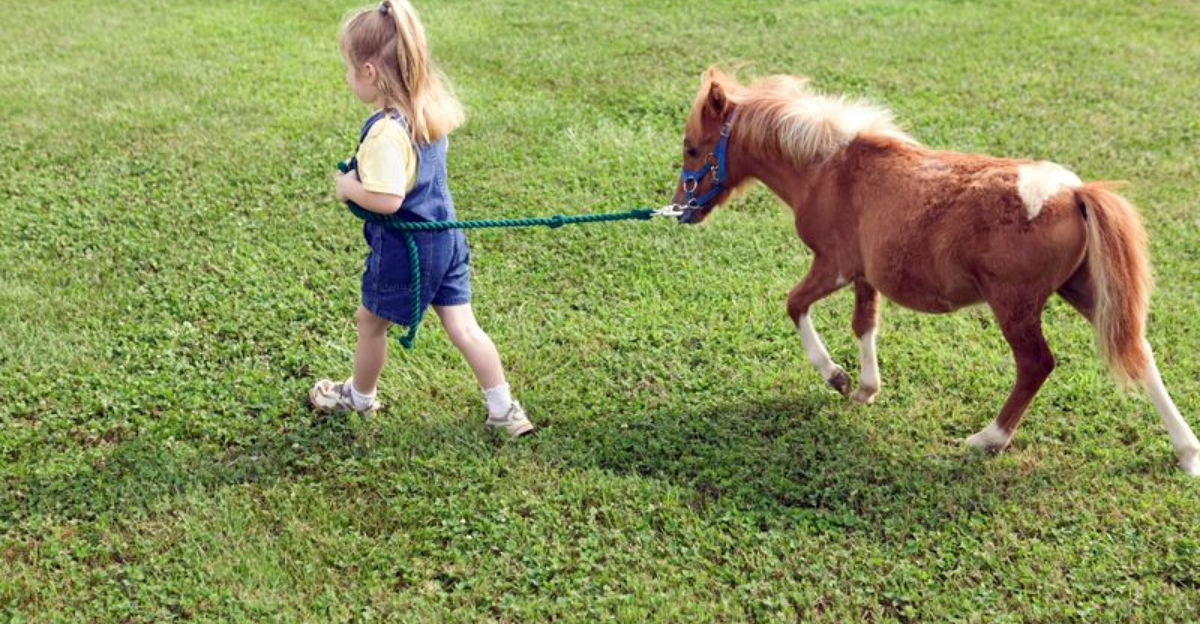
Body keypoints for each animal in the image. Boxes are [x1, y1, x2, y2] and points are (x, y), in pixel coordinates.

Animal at [671, 67, 1199, 476]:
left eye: (693, 149)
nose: (681, 209)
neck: (828, 167)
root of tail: (1074, 193)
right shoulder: (865, 275)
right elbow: (864, 324)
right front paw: (865, 388)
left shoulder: (832, 266)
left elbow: (795, 304)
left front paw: (836, 376)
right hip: (1084, 291)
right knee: (1139, 351)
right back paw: (1187, 451)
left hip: (1016, 305)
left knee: (1037, 365)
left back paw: (988, 439)